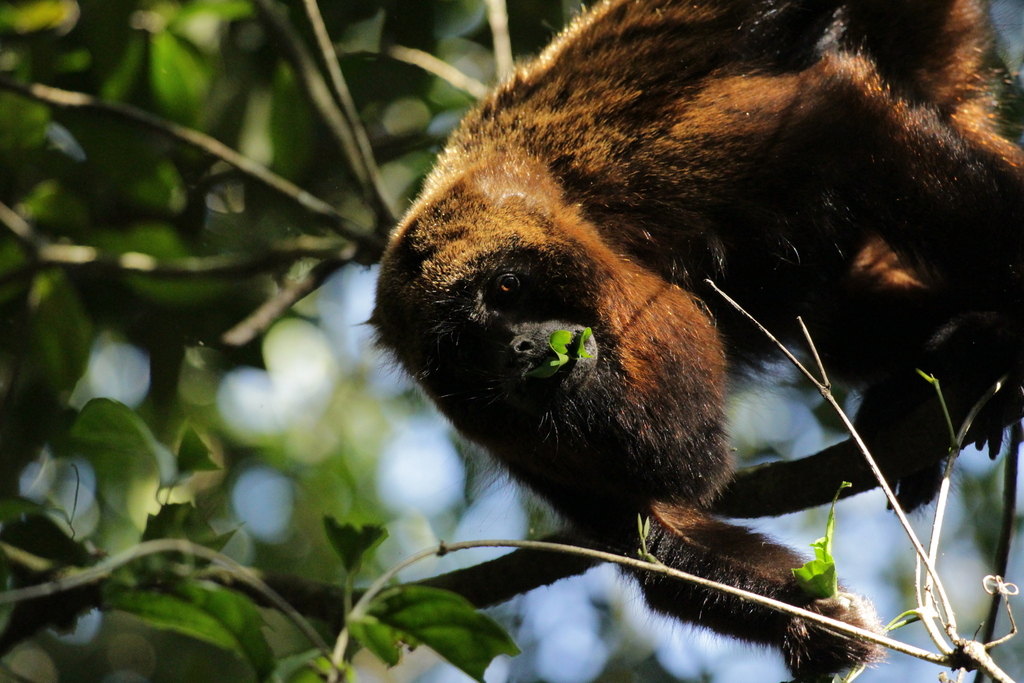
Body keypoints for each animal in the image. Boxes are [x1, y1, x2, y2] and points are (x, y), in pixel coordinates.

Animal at [371, 0, 1024, 677]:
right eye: (465, 349)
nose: (521, 349)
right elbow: (650, 538)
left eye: (505, 288)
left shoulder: (653, 160)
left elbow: (839, 124)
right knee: (843, 326)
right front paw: (816, 621)